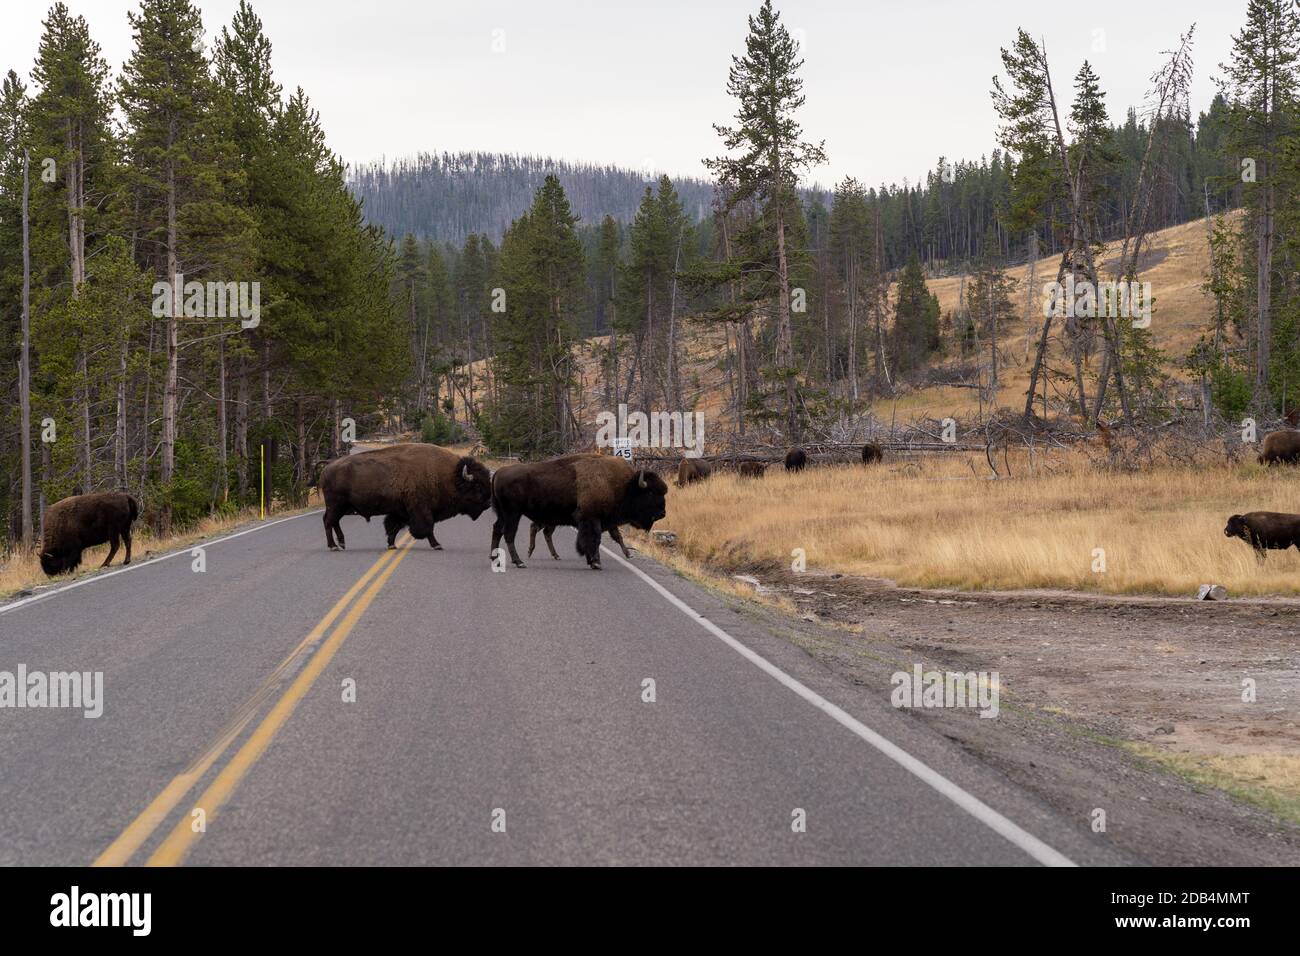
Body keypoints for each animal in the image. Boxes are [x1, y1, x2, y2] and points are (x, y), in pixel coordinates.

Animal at [319, 443, 491, 551]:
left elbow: (393, 527)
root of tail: (327, 468)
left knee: (334, 522)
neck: (450, 476)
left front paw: (391, 545)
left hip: (343, 507)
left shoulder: (400, 511)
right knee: (328, 522)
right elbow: (427, 528)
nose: (488, 503)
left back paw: (342, 544)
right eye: (477, 486)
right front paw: (437, 545)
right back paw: (333, 546)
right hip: (336, 505)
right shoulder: (421, 510)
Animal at [492, 453, 668, 569]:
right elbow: (593, 539)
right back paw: (519, 562)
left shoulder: (603, 521)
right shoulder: (591, 519)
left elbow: (604, 538)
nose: (662, 514)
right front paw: (595, 562)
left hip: (503, 514)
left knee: (498, 530)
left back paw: (495, 557)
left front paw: (593, 561)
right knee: (509, 534)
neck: (624, 486)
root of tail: (499, 472)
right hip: (513, 513)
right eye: (650, 492)